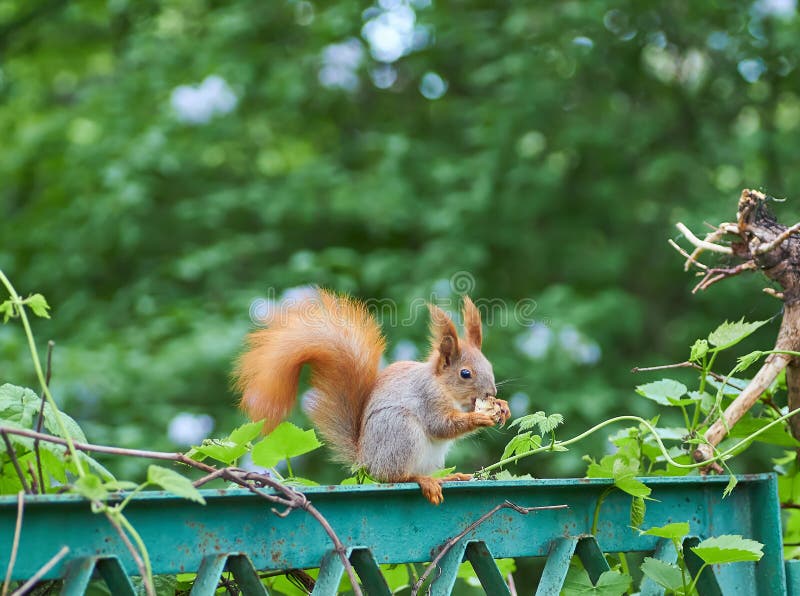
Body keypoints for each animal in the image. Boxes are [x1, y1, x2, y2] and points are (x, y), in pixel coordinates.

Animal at [234, 289, 510, 504]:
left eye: (490, 366)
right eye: (465, 373)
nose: (491, 393)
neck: (443, 387)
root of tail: (365, 459)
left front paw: (502, 407)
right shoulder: (427, 398)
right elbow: (441, 425)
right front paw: (479, 418)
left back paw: (449, 476)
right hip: (401, 432)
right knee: (395, 477)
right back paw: (424, 481)